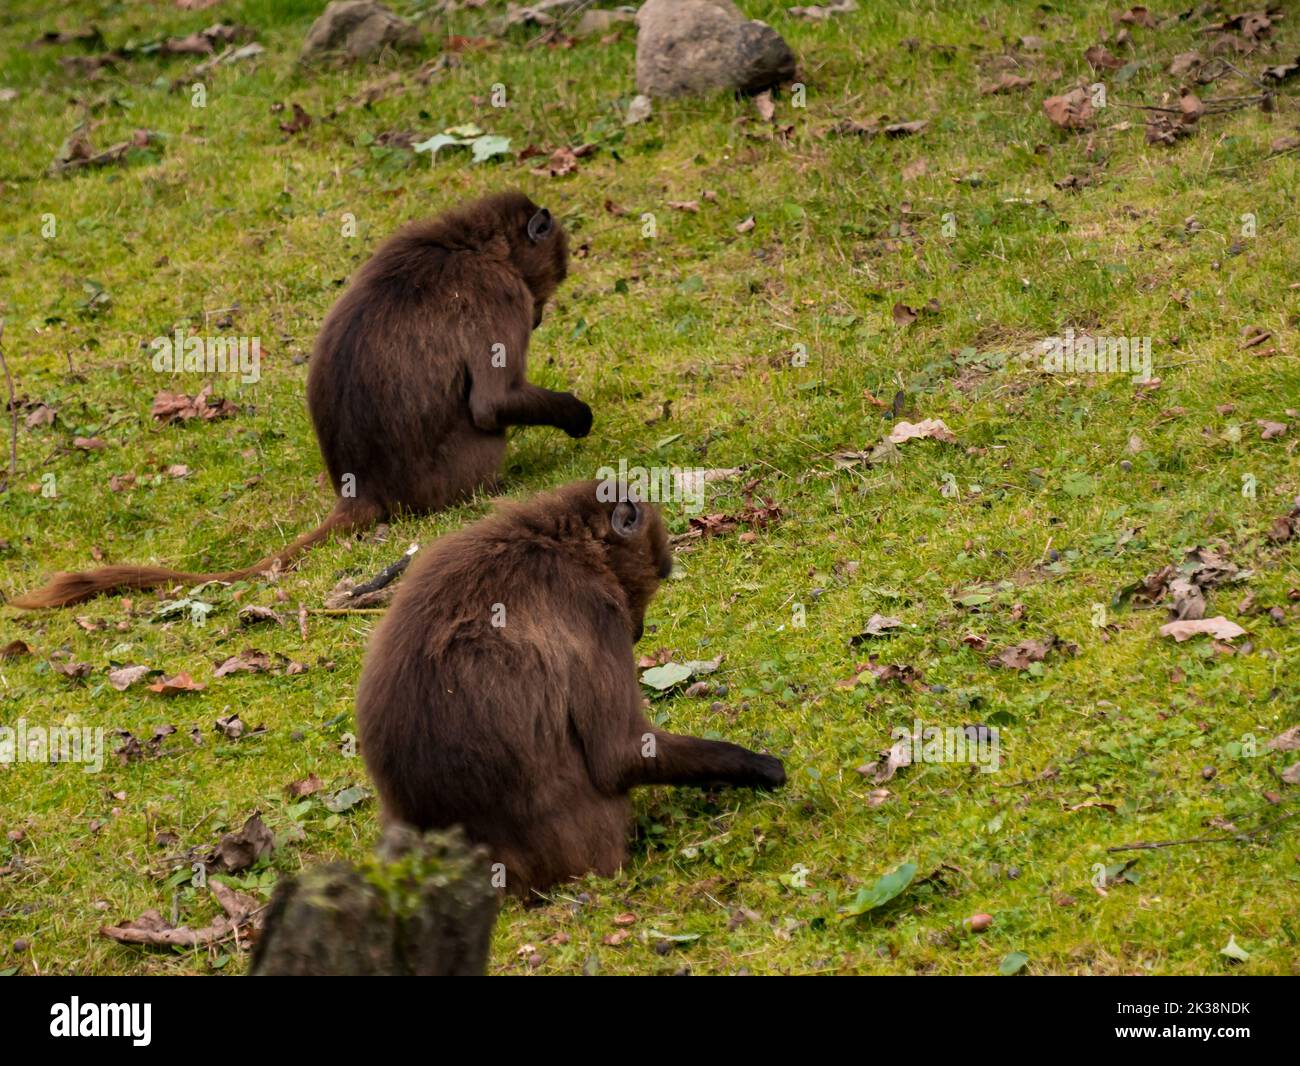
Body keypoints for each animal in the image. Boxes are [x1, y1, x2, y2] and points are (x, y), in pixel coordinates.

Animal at [12, 191, 591, 609]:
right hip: (459, 468)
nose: (539, 316)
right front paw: (579, 417)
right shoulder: (500, 292)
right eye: (551, 278)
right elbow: (493, 403)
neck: (474, 245)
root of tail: (360, 492)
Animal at [355, 479, 786, 897]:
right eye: (659, 571)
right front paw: (755, 766)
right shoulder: (595, 608)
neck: (567, 545)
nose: (638, 631)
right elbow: (619, 755)